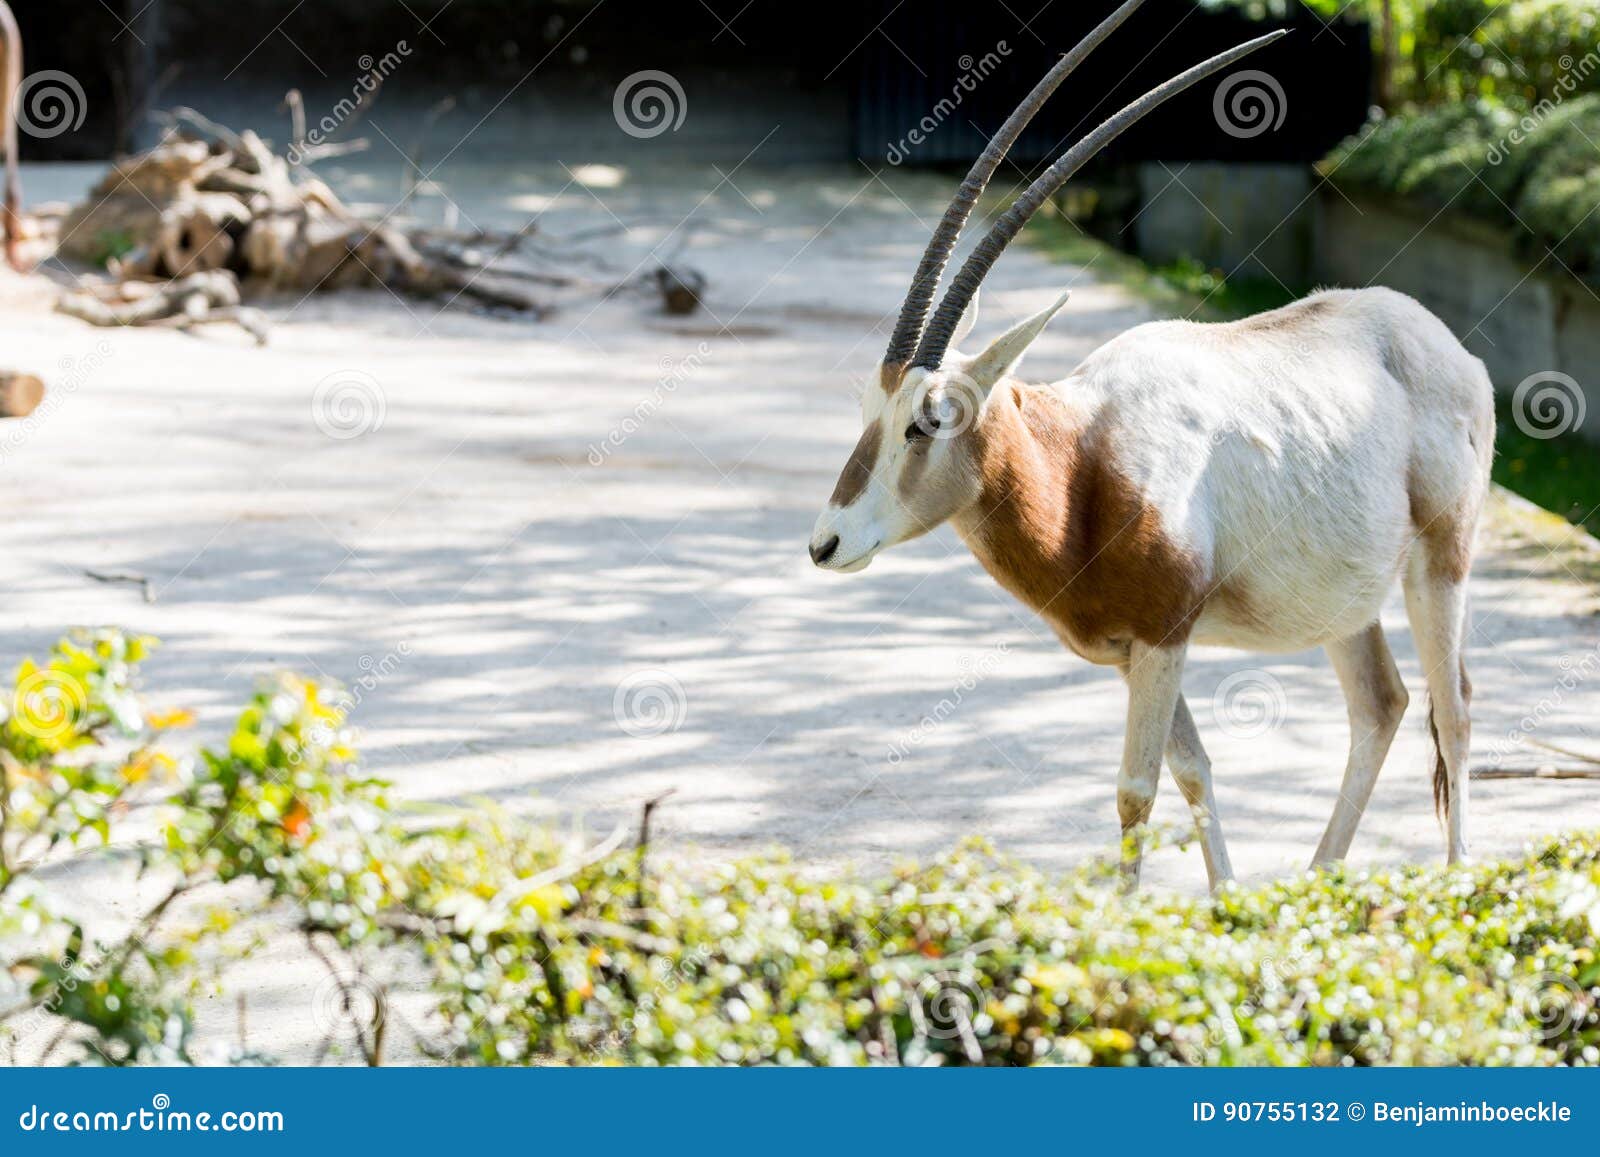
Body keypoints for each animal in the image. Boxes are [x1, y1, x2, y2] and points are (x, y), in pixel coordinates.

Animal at [808, 0, 1493, 889]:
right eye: (871, 406)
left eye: (929, 418)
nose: (825, 543)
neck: (1083, 459)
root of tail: (1446, 347)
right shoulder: (1136, 649)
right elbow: (1192, 768)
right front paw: (1227, 898)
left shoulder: (1167, 635)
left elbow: (1136, 789)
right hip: (1344, 597)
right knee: (1383, 703)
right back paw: (1317, 879)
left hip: (1441, 563)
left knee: (1454, 710)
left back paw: (1457, 876)